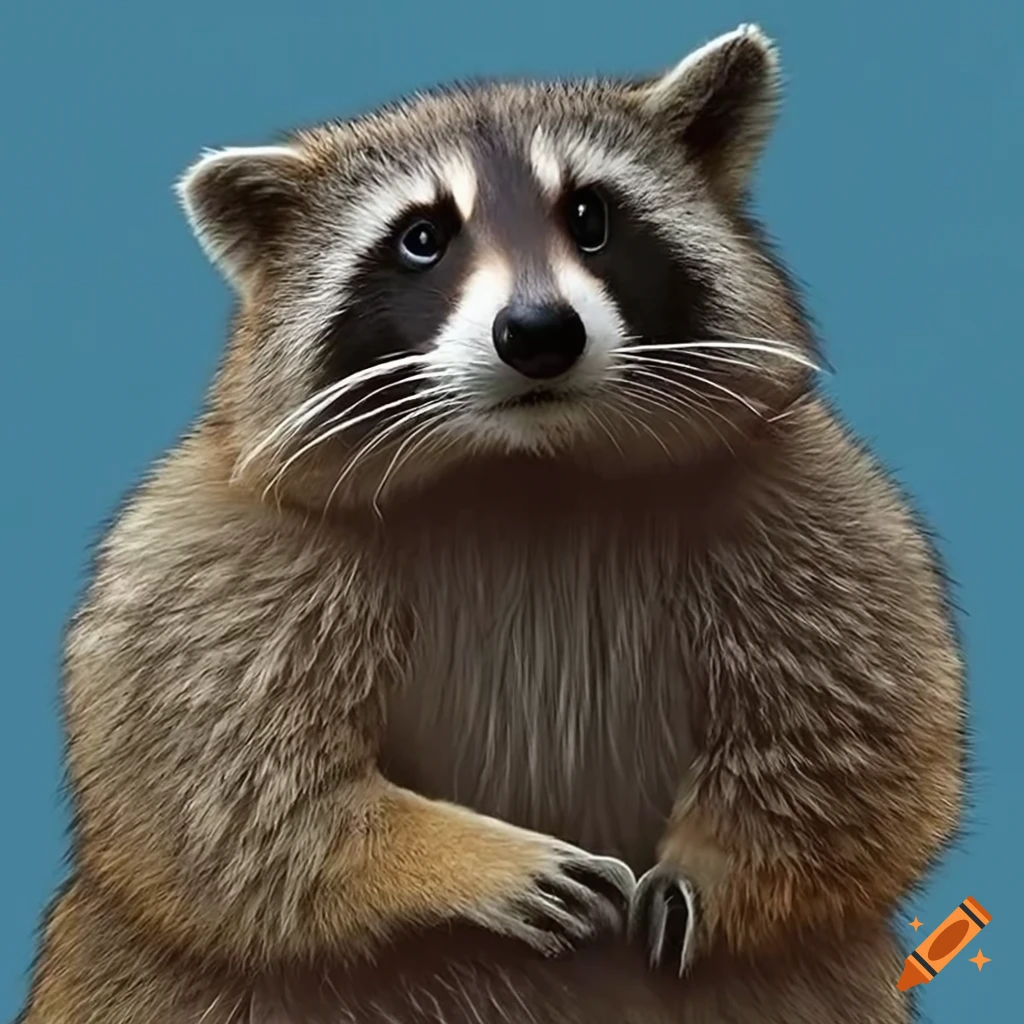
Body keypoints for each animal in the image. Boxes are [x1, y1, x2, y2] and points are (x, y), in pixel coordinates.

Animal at [18, 24, 964, 1024]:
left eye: (590, 215)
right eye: (421, 239)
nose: (540, 332)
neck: (525, 469)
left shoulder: (797, 498)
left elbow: (856, 737)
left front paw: (708, 867)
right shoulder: (225, 547)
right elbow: (227, 800)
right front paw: (455, 857)